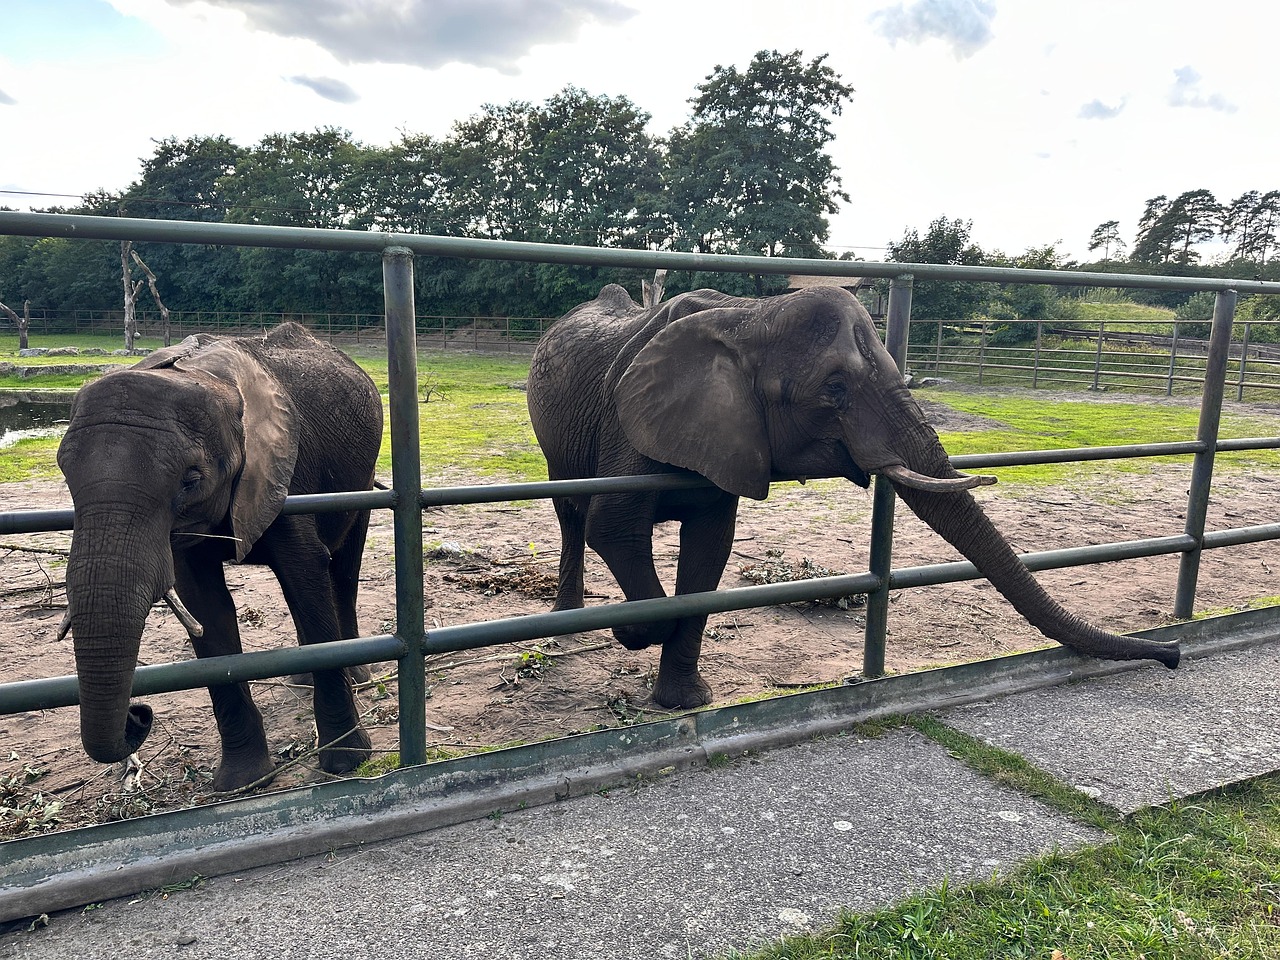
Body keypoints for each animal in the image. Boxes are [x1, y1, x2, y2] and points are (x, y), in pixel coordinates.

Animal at [56, 322, 383, 791]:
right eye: (65, 476)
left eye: (191, 480)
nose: (140, 714)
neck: (204, 379)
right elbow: (205, 604)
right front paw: (242, 782)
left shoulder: (284, 471)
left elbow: (307, 574)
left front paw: (346, 764)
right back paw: (301, 678)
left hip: (362, 476)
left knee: (342, 569)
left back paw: (357, 676)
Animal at [526, 284, 1179, 709]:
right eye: (834, 389)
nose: (1171, 655)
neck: (749, 316)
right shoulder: (627, 421)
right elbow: (614, 527)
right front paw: (630, 633)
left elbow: (710, 551)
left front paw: (685, 702)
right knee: (571, 515)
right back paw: (570, 618)